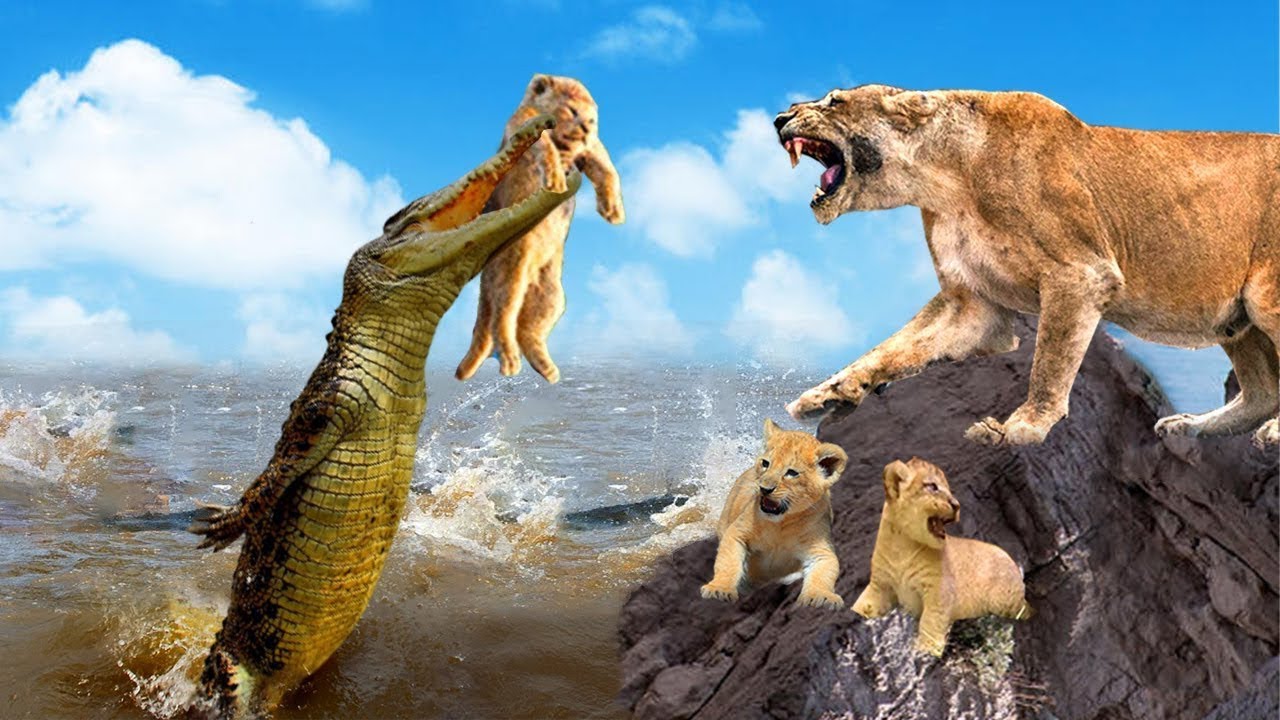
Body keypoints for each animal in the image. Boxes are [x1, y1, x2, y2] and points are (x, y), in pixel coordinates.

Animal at [455, 74, 625, 384]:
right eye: (572, 110)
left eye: (592, 119)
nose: (586, 127)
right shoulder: (522, 128)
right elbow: (544, 145)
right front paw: (556, 180)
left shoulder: (591, 150)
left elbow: (606, 166)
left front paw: (613, 212)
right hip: (511, 276)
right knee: (502, 320)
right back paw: (510, 362)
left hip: (553, 295)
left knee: (527, 331)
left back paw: (548, 370)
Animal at [700, 419, 848, 608]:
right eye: (765, 463)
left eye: (791, 473)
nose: (764, 489)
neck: (780, 525)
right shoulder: (737, 533)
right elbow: (728, 563)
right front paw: (719, 589)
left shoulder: (821, 549)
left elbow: (825, 572)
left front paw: (820, 597)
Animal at [774, 85, 1280, 448]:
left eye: (834, 100)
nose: (779, 119)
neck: (946, 180)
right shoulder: (972, 304)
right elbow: (892, 348)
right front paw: (829, 393)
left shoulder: (1080, 273)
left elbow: (1050, 360)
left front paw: (1024, 425)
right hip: (1234, 319)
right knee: (1262, 392)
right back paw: (1193, 426)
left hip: (1264, 297)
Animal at [852, 458, 1031, 656]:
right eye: (932, 486)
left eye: (949, 489)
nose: (957, 505)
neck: (902, 548)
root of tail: (1012, 560)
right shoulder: (879, 585)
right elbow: (862, 605)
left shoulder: (938, 592)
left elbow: (930, 621)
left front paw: (926, 649)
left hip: (1004, 600)